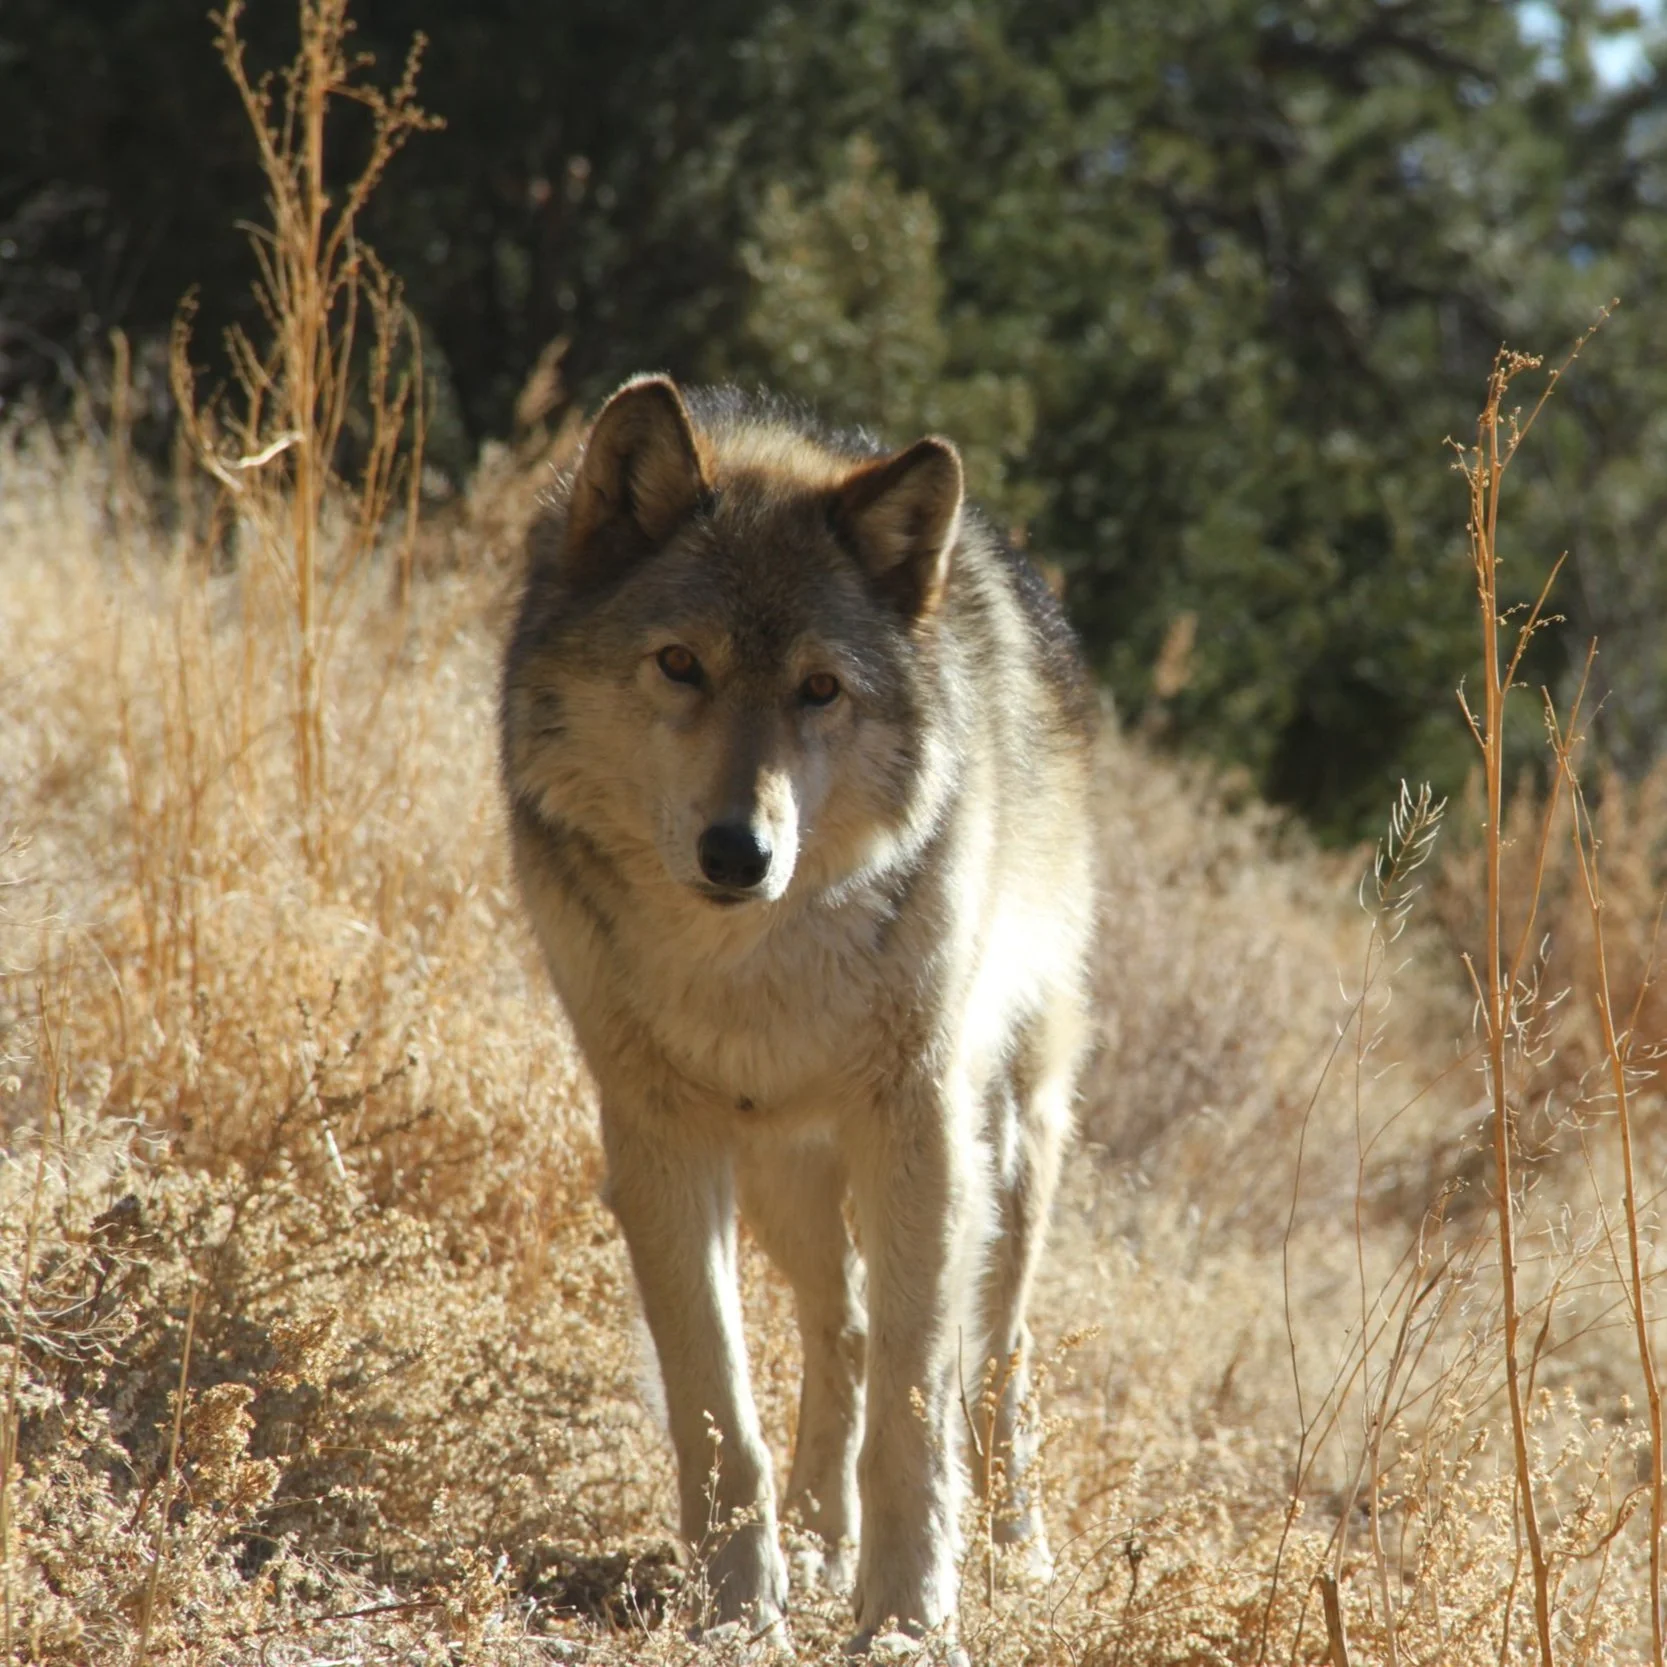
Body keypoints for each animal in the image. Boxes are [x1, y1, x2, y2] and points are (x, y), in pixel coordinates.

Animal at [499, 376, 1097, 1647]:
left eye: (820, 687)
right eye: (680, 663)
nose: (740, 851)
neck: (744, 959)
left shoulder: (919, 1122)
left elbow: (916, 1407)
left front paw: (910, 1615)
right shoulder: (658, 1133)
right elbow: (719, 1407)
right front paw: (741, 1602)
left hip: (1005, 1145)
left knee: (994, 1352)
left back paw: (1015, 1552)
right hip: (782, 1170)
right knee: (845, 1326)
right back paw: (822, 1548)